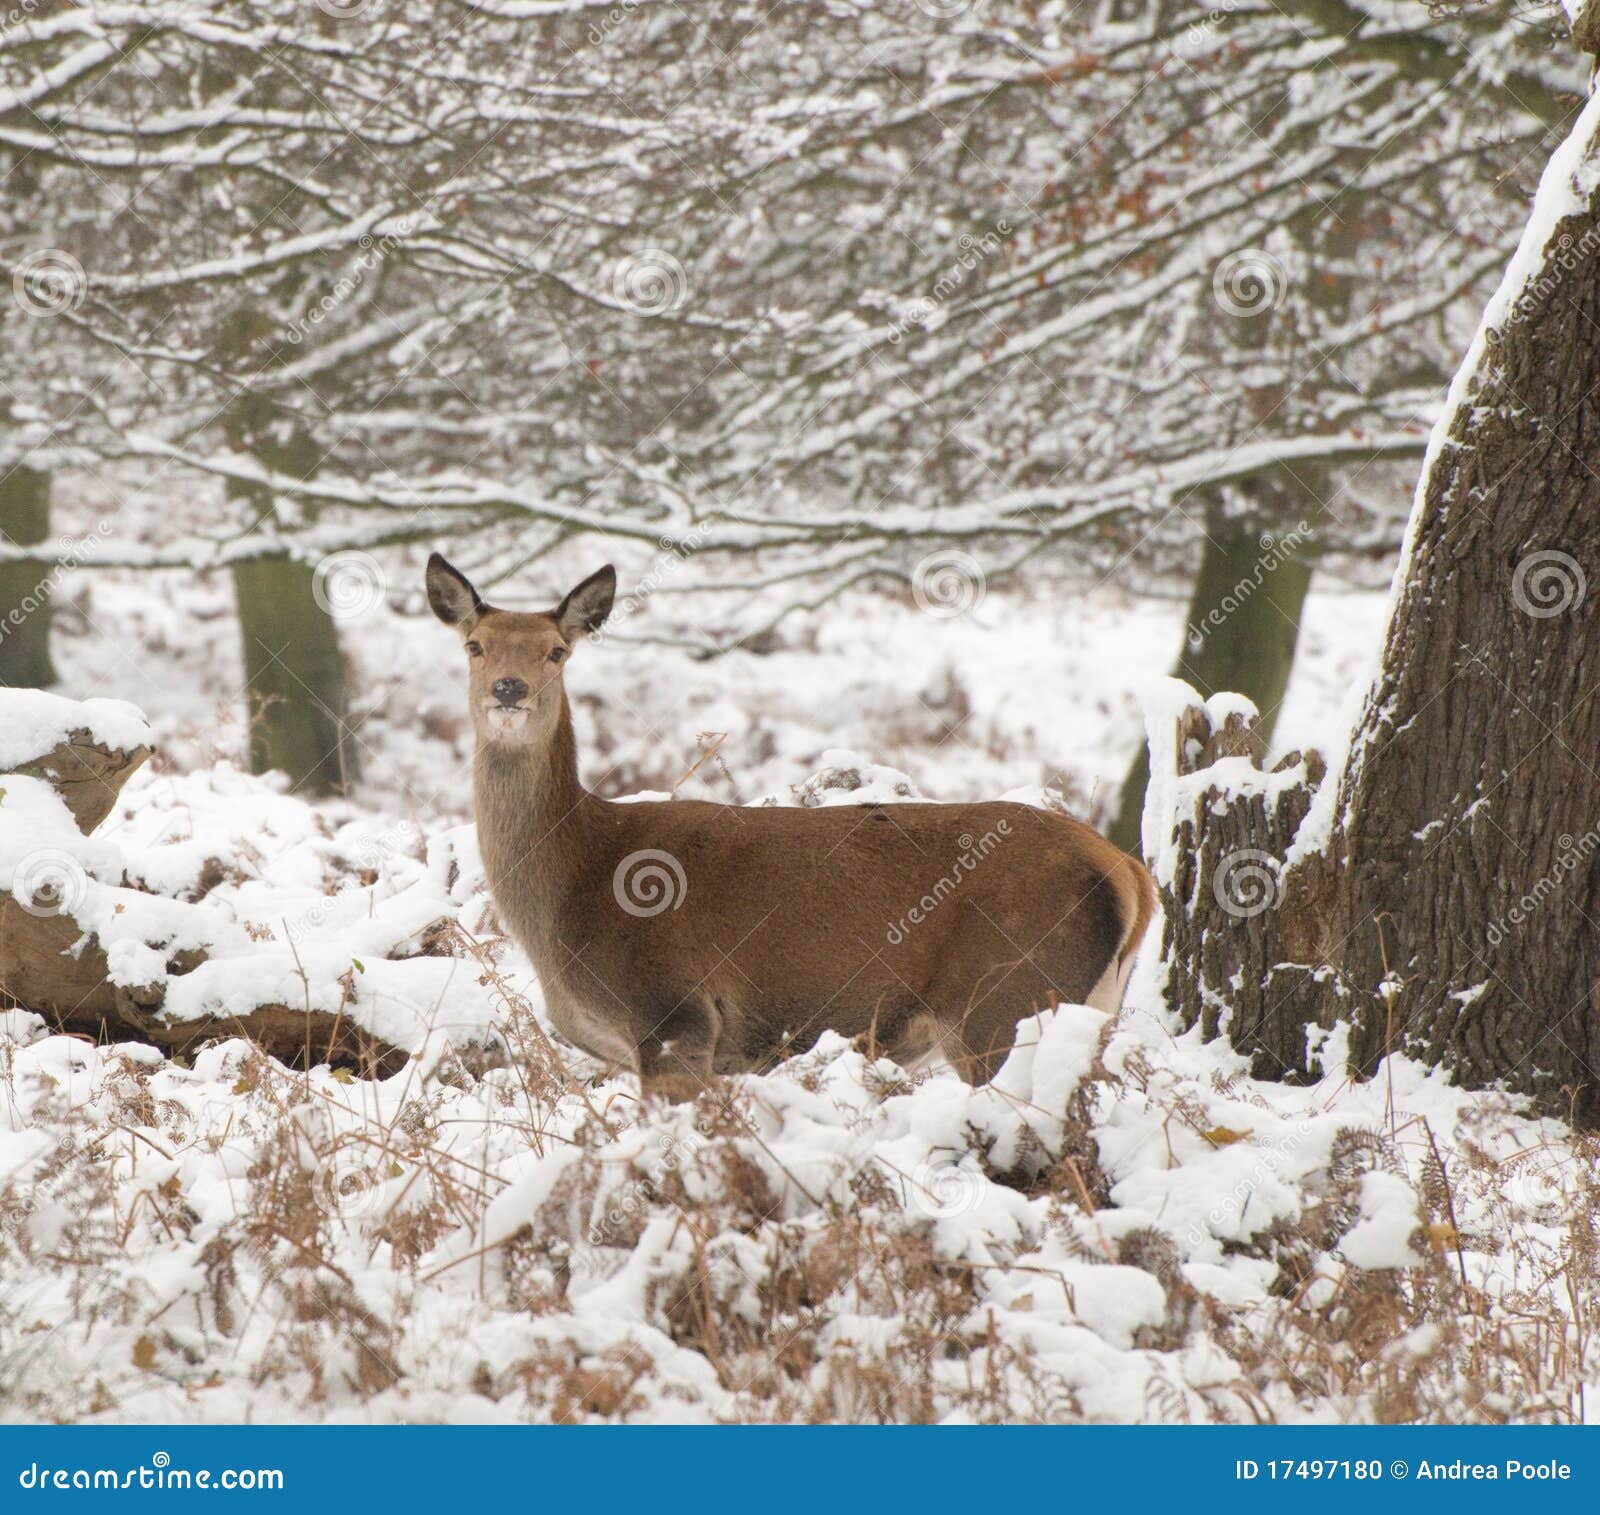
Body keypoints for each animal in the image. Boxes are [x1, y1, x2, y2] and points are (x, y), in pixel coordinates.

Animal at [427, 553, 1155, 1101]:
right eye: (474, 645)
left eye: (556, 651)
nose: (510, 689)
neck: (575, 882)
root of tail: (1131, 876)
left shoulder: (675, 1013)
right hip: (1084, 1006)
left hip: (1007, 1000)